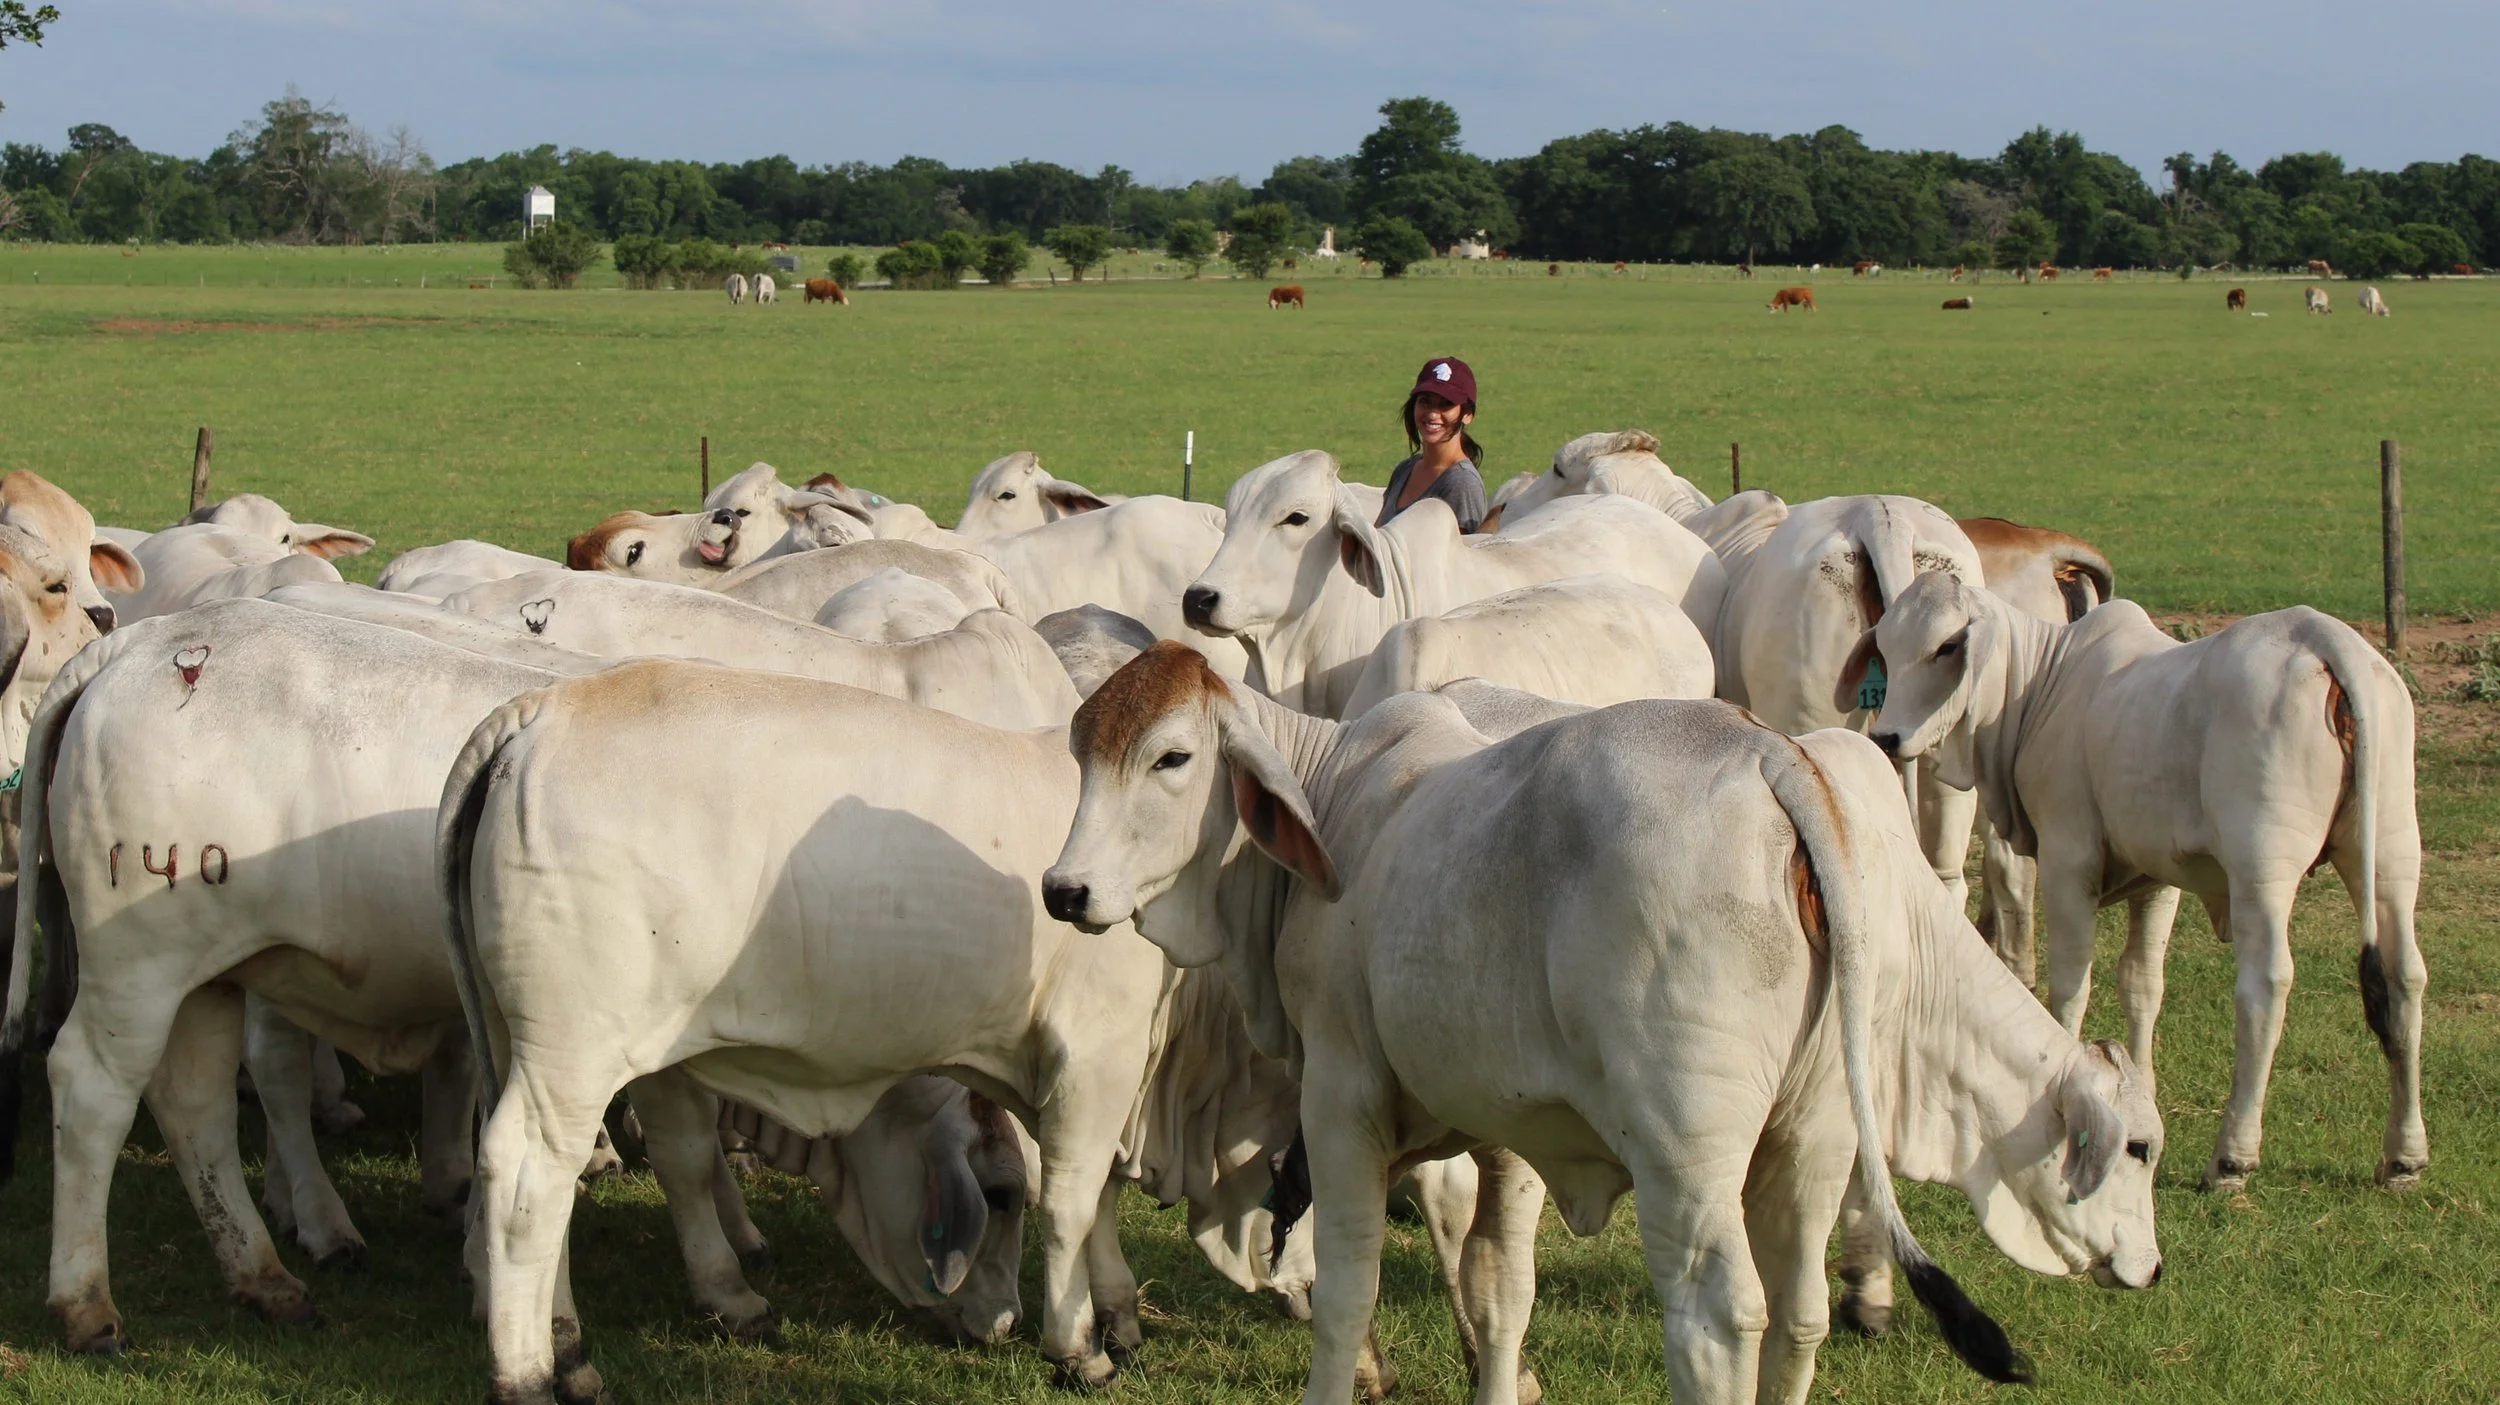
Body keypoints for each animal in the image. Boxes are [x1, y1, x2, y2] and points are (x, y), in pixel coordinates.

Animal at [436, 660, 1180, 1398]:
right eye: (997, 1196)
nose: (1002, 1322)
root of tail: (538, 712)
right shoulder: (1100, 1055)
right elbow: (1079, 1197)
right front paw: (1082, 1347)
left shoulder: (665, 1060)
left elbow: (686, 1158)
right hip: (572, 1055)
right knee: (524, 1180)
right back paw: (529, 1374)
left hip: (515, 1037)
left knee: (546, 1189)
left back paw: (566, 1350)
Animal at [1042, 647, 2164, 1405]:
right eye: (1082, 754)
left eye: (1172, 757)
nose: (1064, 889)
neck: (1335, 797)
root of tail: (1773, 761)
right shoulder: (1505, 1131)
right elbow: (1500, 1290)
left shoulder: (1343, 1097)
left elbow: (1347, 1290)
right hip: (1809, 1135)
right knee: (1797, 1312)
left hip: (1686, 1153)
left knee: (1720, 1319)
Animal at [1844, 571, 2427, 1193]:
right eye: (1888, 649)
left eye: (1948, 647)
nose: (1887, 738)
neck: (2041, 687)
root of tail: (2323, 638)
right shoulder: (2157, 879)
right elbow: (2142, 983)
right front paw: (2139, 1096)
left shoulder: (2067, 862)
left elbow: (2071, 984)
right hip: (2391, 852)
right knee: (2405, 976)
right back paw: (2404, 1155)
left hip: (2261, 868)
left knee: (2266, 986)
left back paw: (2232, 1158)